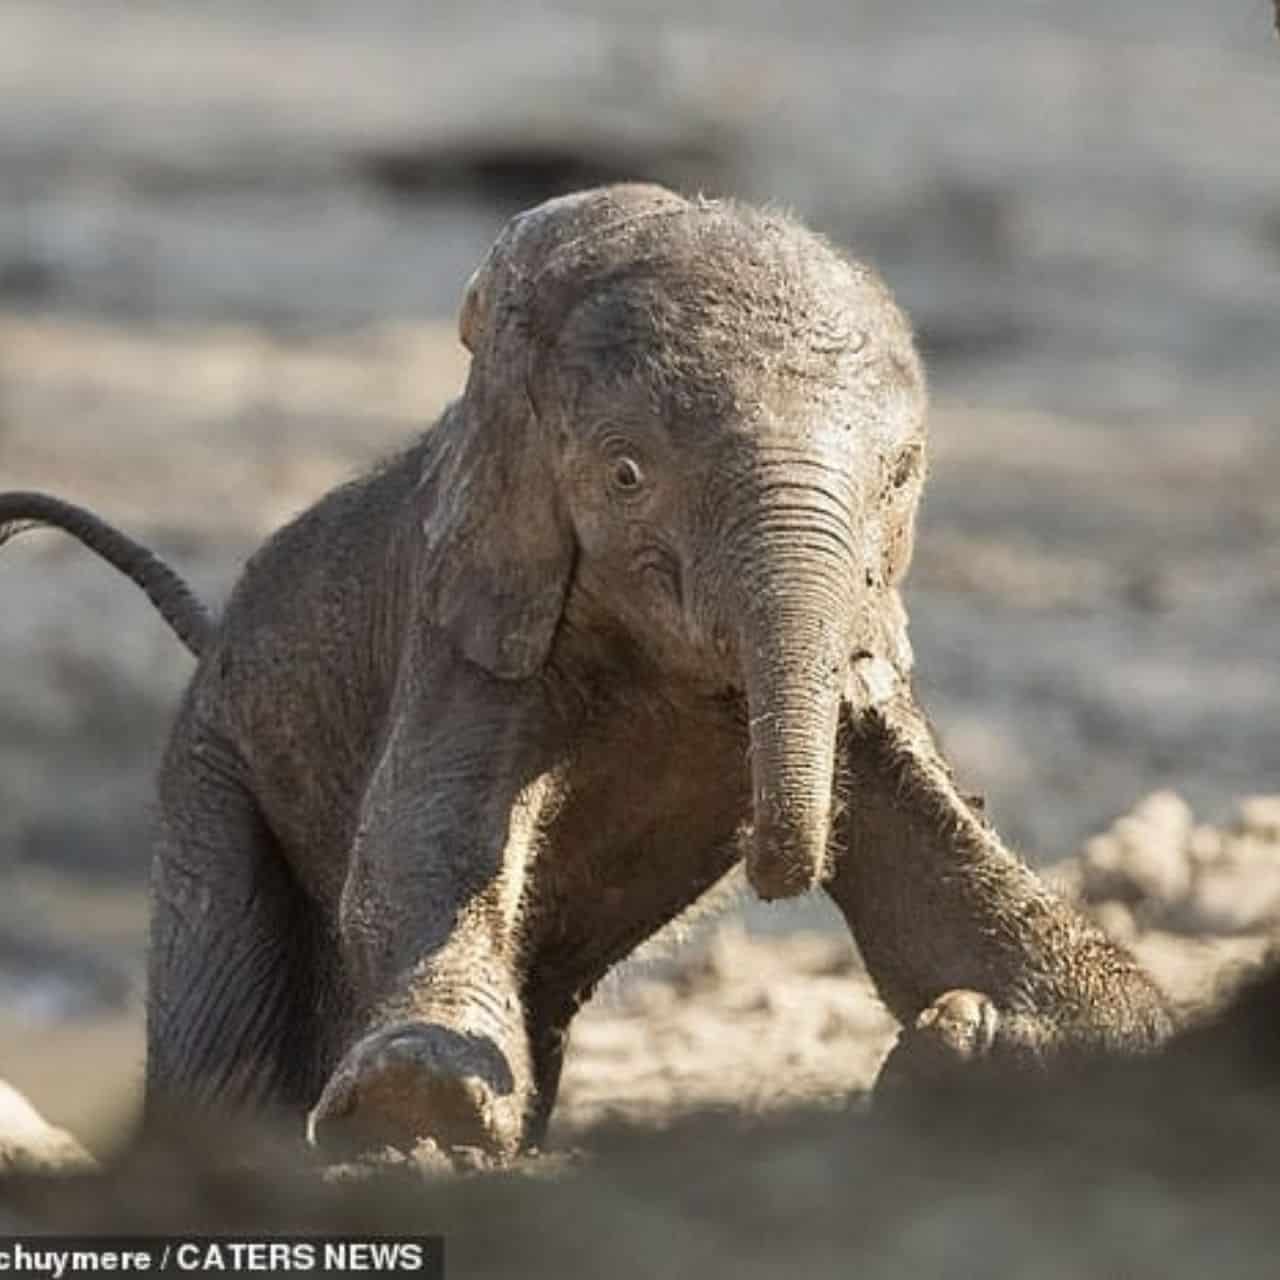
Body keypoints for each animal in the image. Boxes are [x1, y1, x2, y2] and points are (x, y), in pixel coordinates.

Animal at [0, 183, 1170, 1161]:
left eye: (900, 476)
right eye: (625, 475)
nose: (768, 859)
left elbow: (941, 874)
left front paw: (984, 1042)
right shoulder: (470, 616)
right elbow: (419, 852)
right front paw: (421, 1102)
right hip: (211, 759)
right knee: (224, 1017)